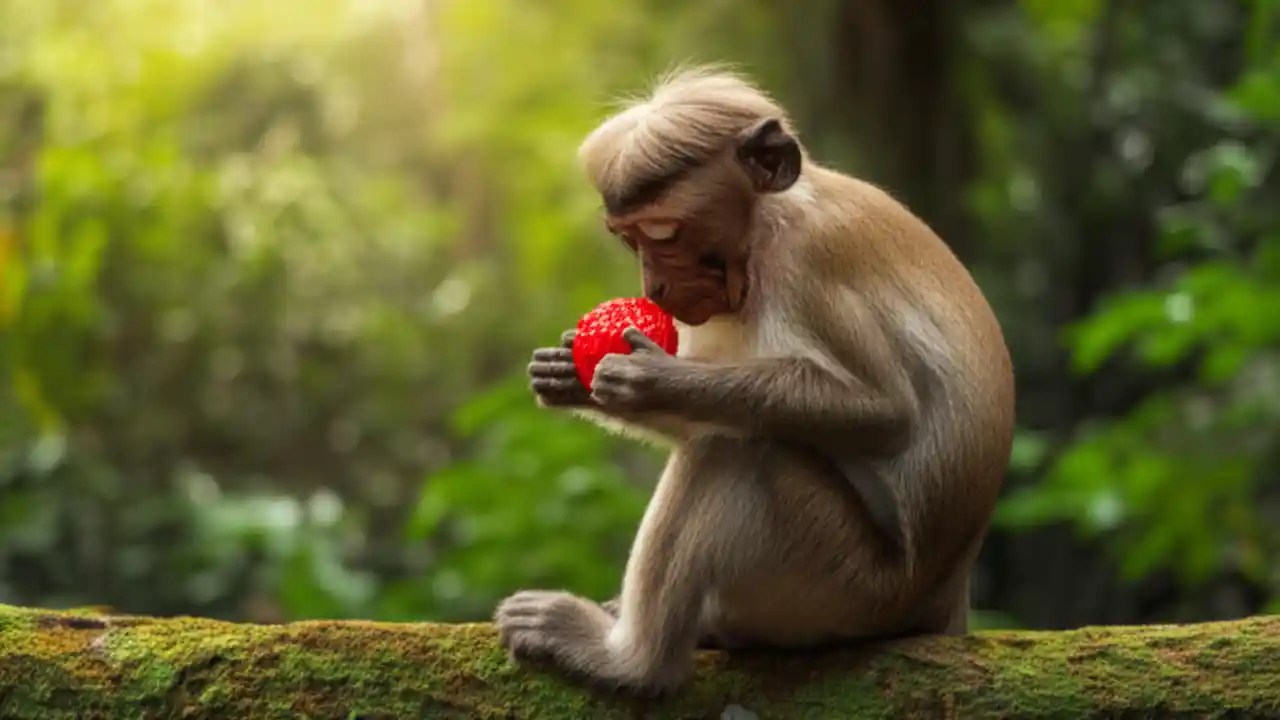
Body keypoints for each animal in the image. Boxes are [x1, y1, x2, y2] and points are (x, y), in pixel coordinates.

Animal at [494, 67, 1015, 695]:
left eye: (663, 233)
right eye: (629, 238)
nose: (654, 288)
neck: (770, 217)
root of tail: (942, 602)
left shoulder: (806, 261)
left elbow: (885, 413)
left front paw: (653, 378)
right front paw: (570, 375)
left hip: (845, 585)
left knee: (737, 454)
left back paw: (633, 661)